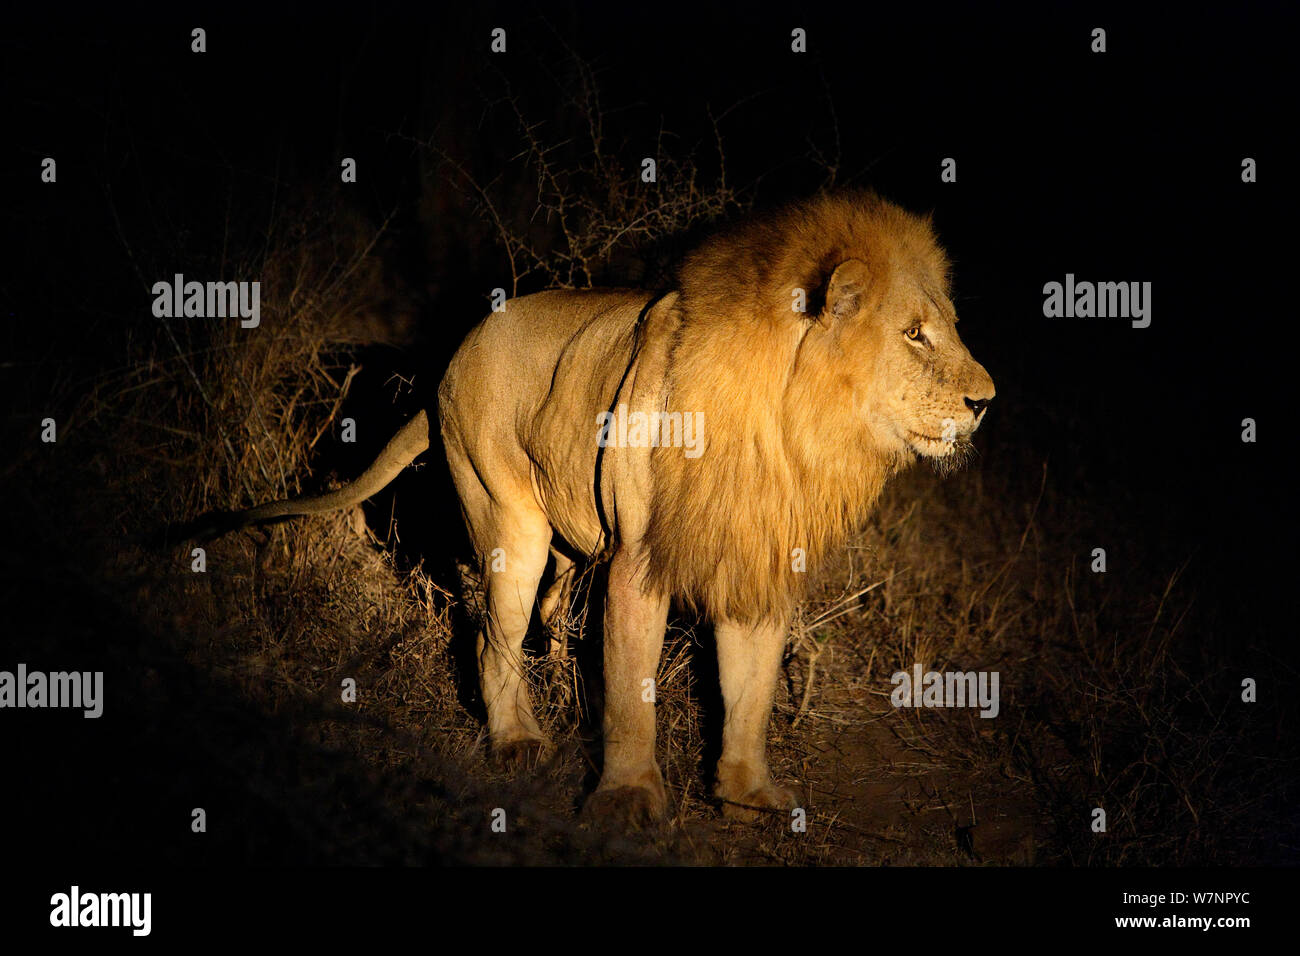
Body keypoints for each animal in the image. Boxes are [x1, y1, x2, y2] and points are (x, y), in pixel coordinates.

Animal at [198, 190, 995, 826]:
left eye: (949, 327)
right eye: (914, 334)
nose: (986, 401)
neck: (788, 431)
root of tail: (449, 360)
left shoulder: (751, 545)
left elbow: (752, 688)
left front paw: (745, 793)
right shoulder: (639, 559)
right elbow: (630, 689)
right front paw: (630, 795)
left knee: (545, 612)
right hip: (505, 512)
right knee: (490, 637)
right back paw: (518, 740)